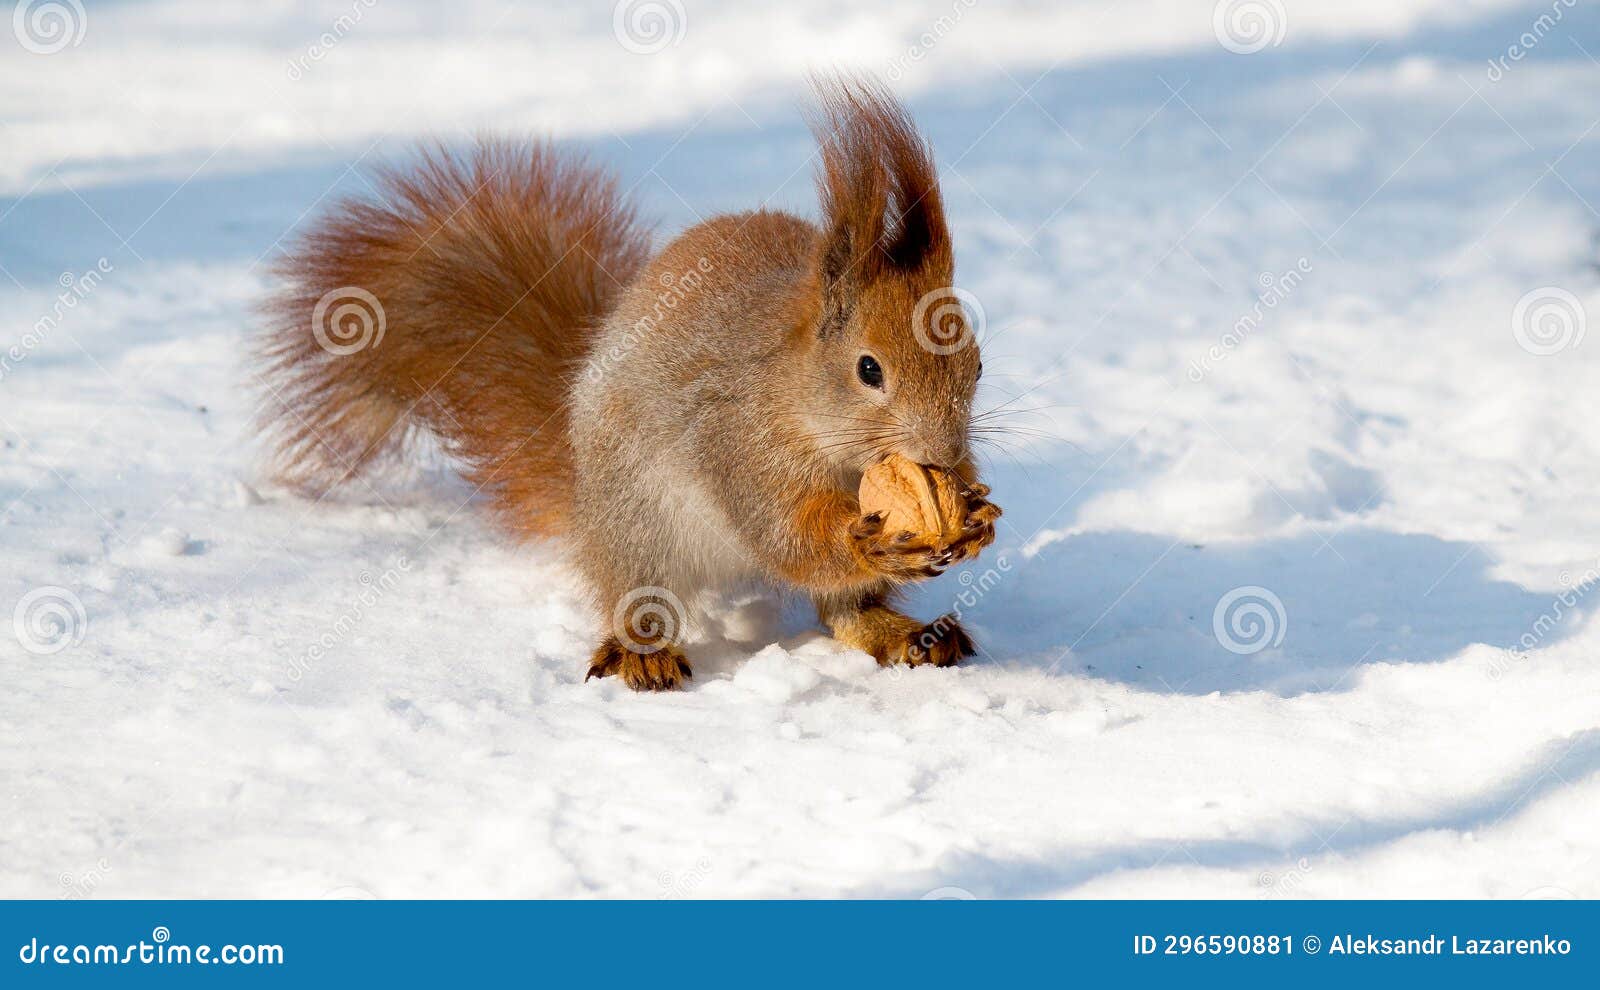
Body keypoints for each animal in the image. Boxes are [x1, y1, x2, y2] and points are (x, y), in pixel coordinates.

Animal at [256, 76, 1002, 691]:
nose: (942, 451)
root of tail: (584, 497)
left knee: (847, 612)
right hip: (637, 521)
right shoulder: (734, 440)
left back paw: (906, 633)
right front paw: (864, 536)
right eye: (869, 369)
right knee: (639, 595)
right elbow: (785, 532)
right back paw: (641, 653)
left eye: (977, 364)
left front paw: (977, 514)